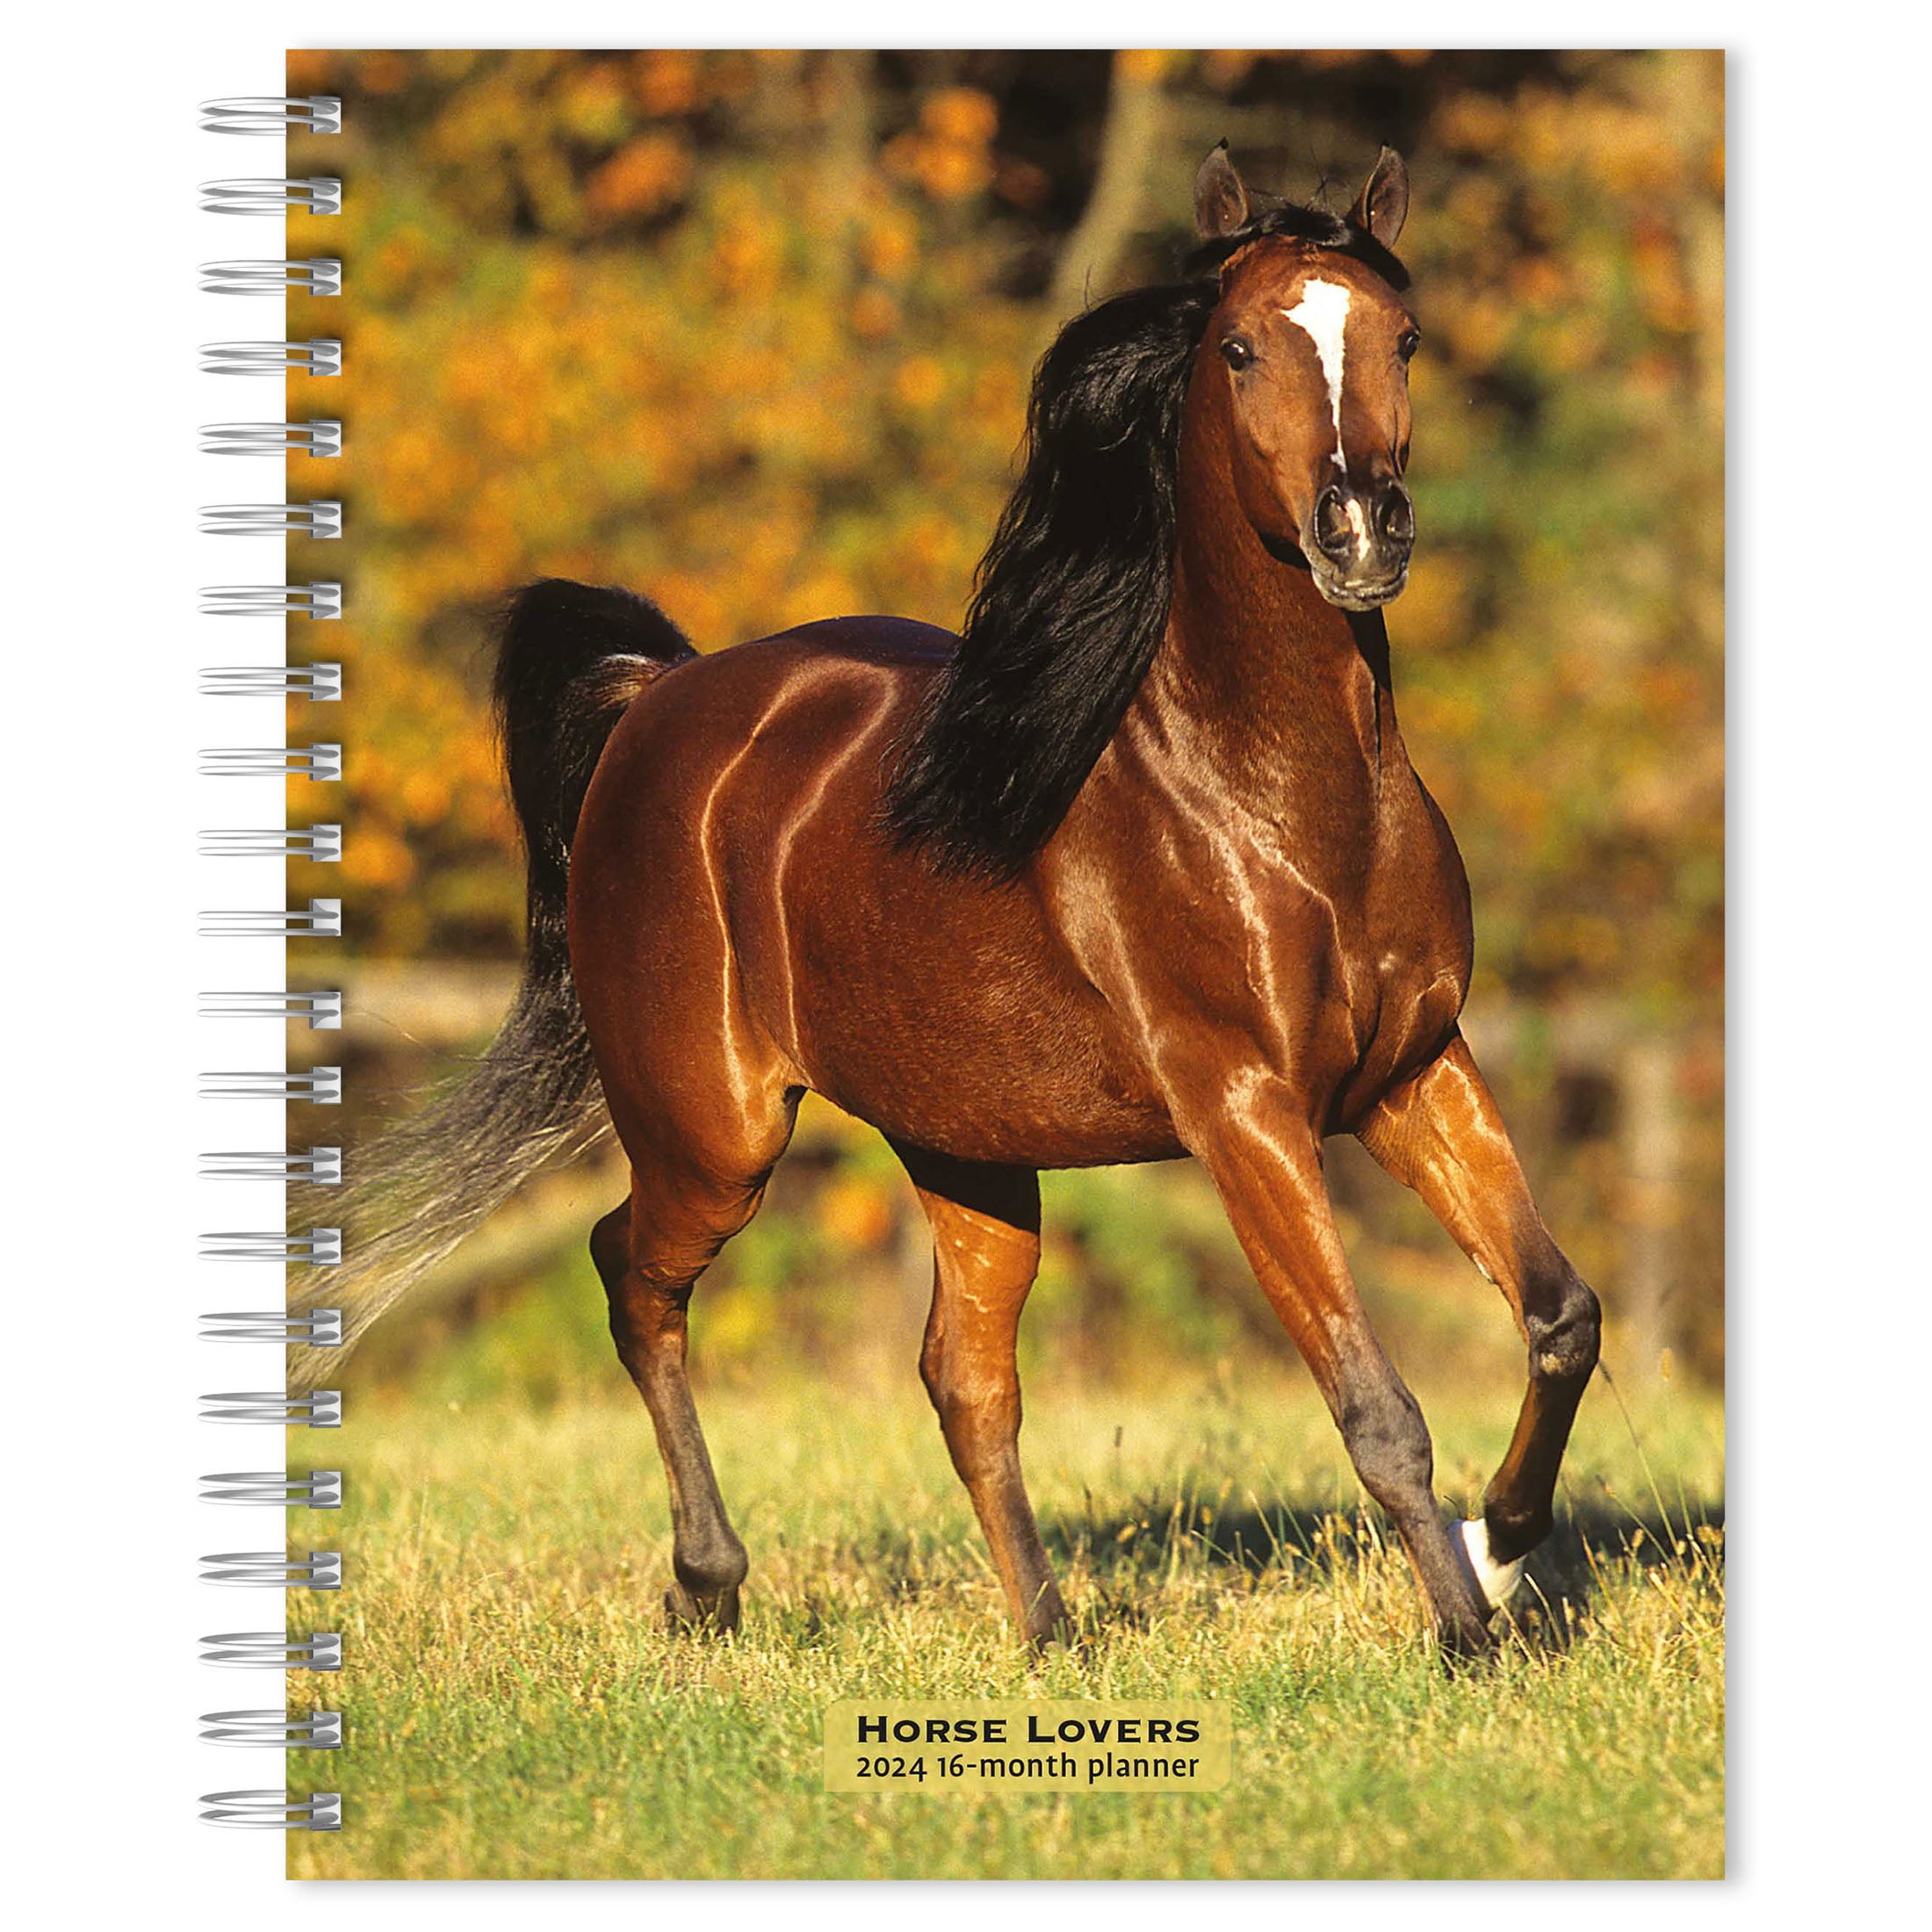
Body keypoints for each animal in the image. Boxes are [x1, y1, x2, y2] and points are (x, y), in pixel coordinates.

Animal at [298, 145, 1601, 1658]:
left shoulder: (1411, 1071)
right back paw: (709, 1586)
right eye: (1237, 346)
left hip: (963, 1144)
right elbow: (1377, 1407)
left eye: (1405, 338)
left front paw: (1508, 1543)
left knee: (961, 1375)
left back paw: (1047, 1633)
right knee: (634, 1275)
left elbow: (1562, 1315)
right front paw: (1469, 1637)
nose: (1360, 533)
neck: (1279, 805)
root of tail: (658, 702)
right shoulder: (1245, 1112)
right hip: (716, 1134)